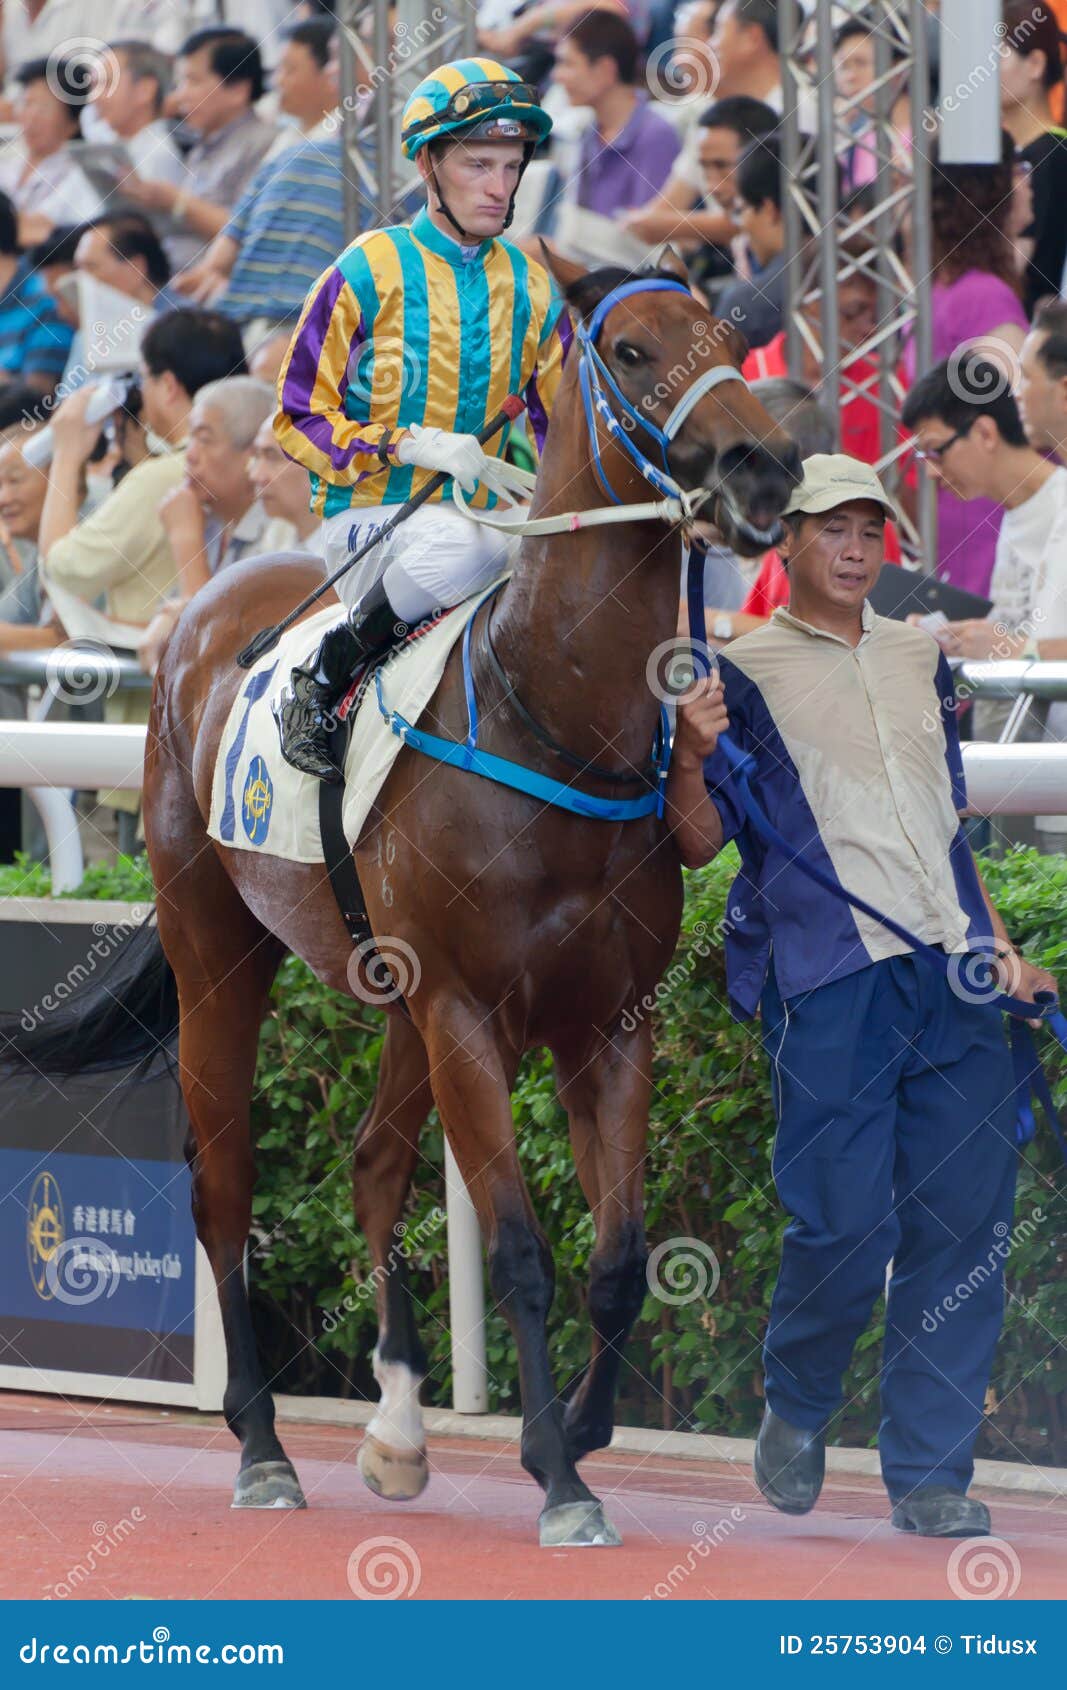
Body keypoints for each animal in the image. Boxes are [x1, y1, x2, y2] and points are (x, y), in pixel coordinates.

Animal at [140, 249, 801, 1547]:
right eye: (633, 350)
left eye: (723, 332)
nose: (764, 464)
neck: (549, 720)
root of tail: (198, 615)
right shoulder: (466, 1013)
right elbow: (519, 1248)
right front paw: (558, 1478)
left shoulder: (606, 1022)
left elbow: (618, 1256)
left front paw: (580, 1434)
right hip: (218, 952)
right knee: (223, 1183)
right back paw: (262, 1447)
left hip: (392, 993)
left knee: (368, 1162)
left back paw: (396, 1430)